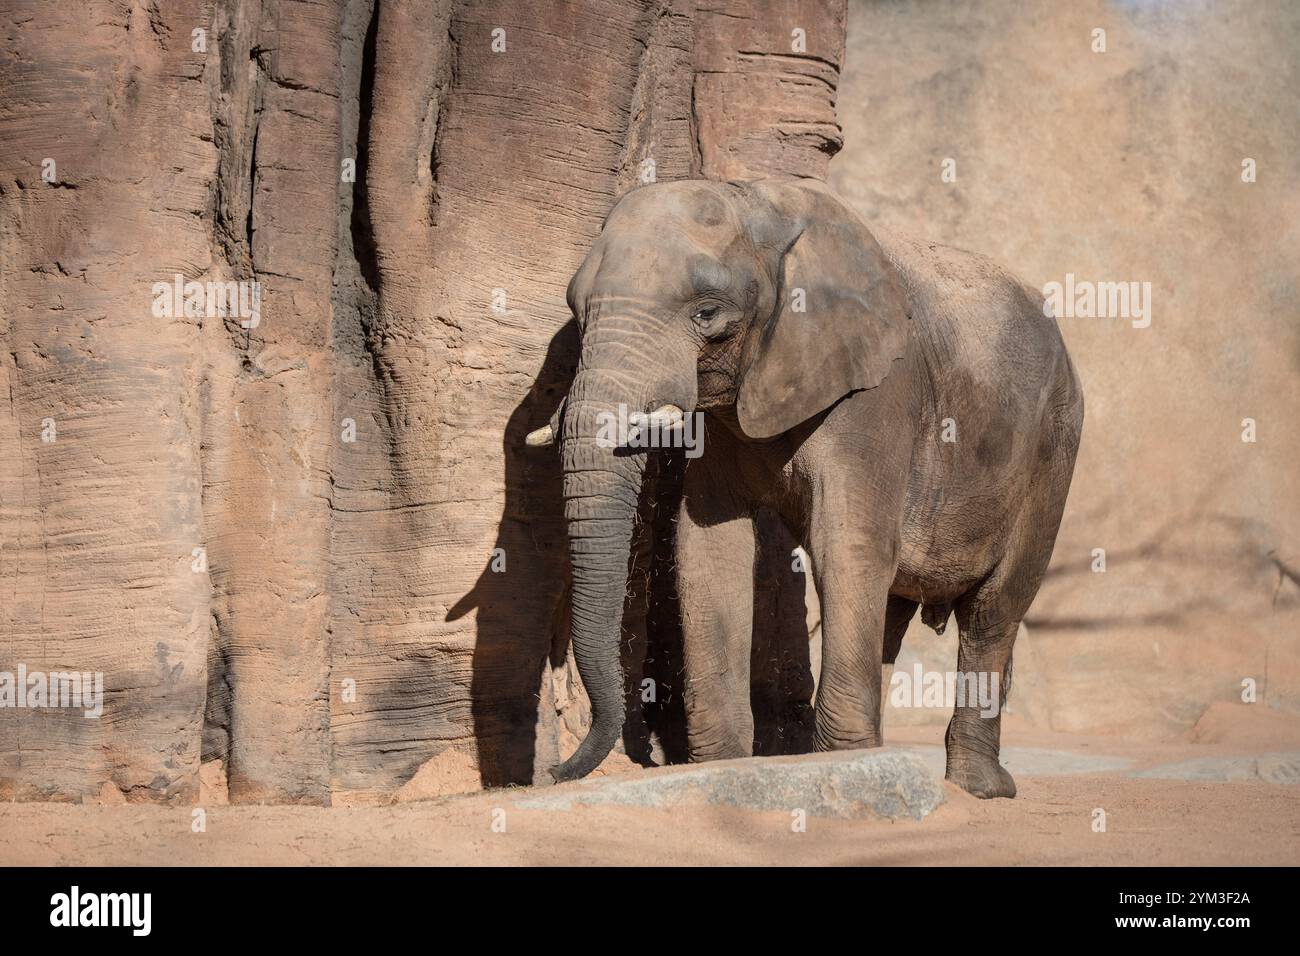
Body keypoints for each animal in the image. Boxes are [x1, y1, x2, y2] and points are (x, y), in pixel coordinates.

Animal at [528, 177, 1083, 798]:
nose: (554, 772)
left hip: (1053, 450)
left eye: (707, 312)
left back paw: (979, 787)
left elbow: (848, 545)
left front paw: (838, 766)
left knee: (994, 611)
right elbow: (708, 550)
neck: (761, 205)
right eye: (577, 311)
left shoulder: (877, 391)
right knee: (892, 612)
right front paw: (723, 766)